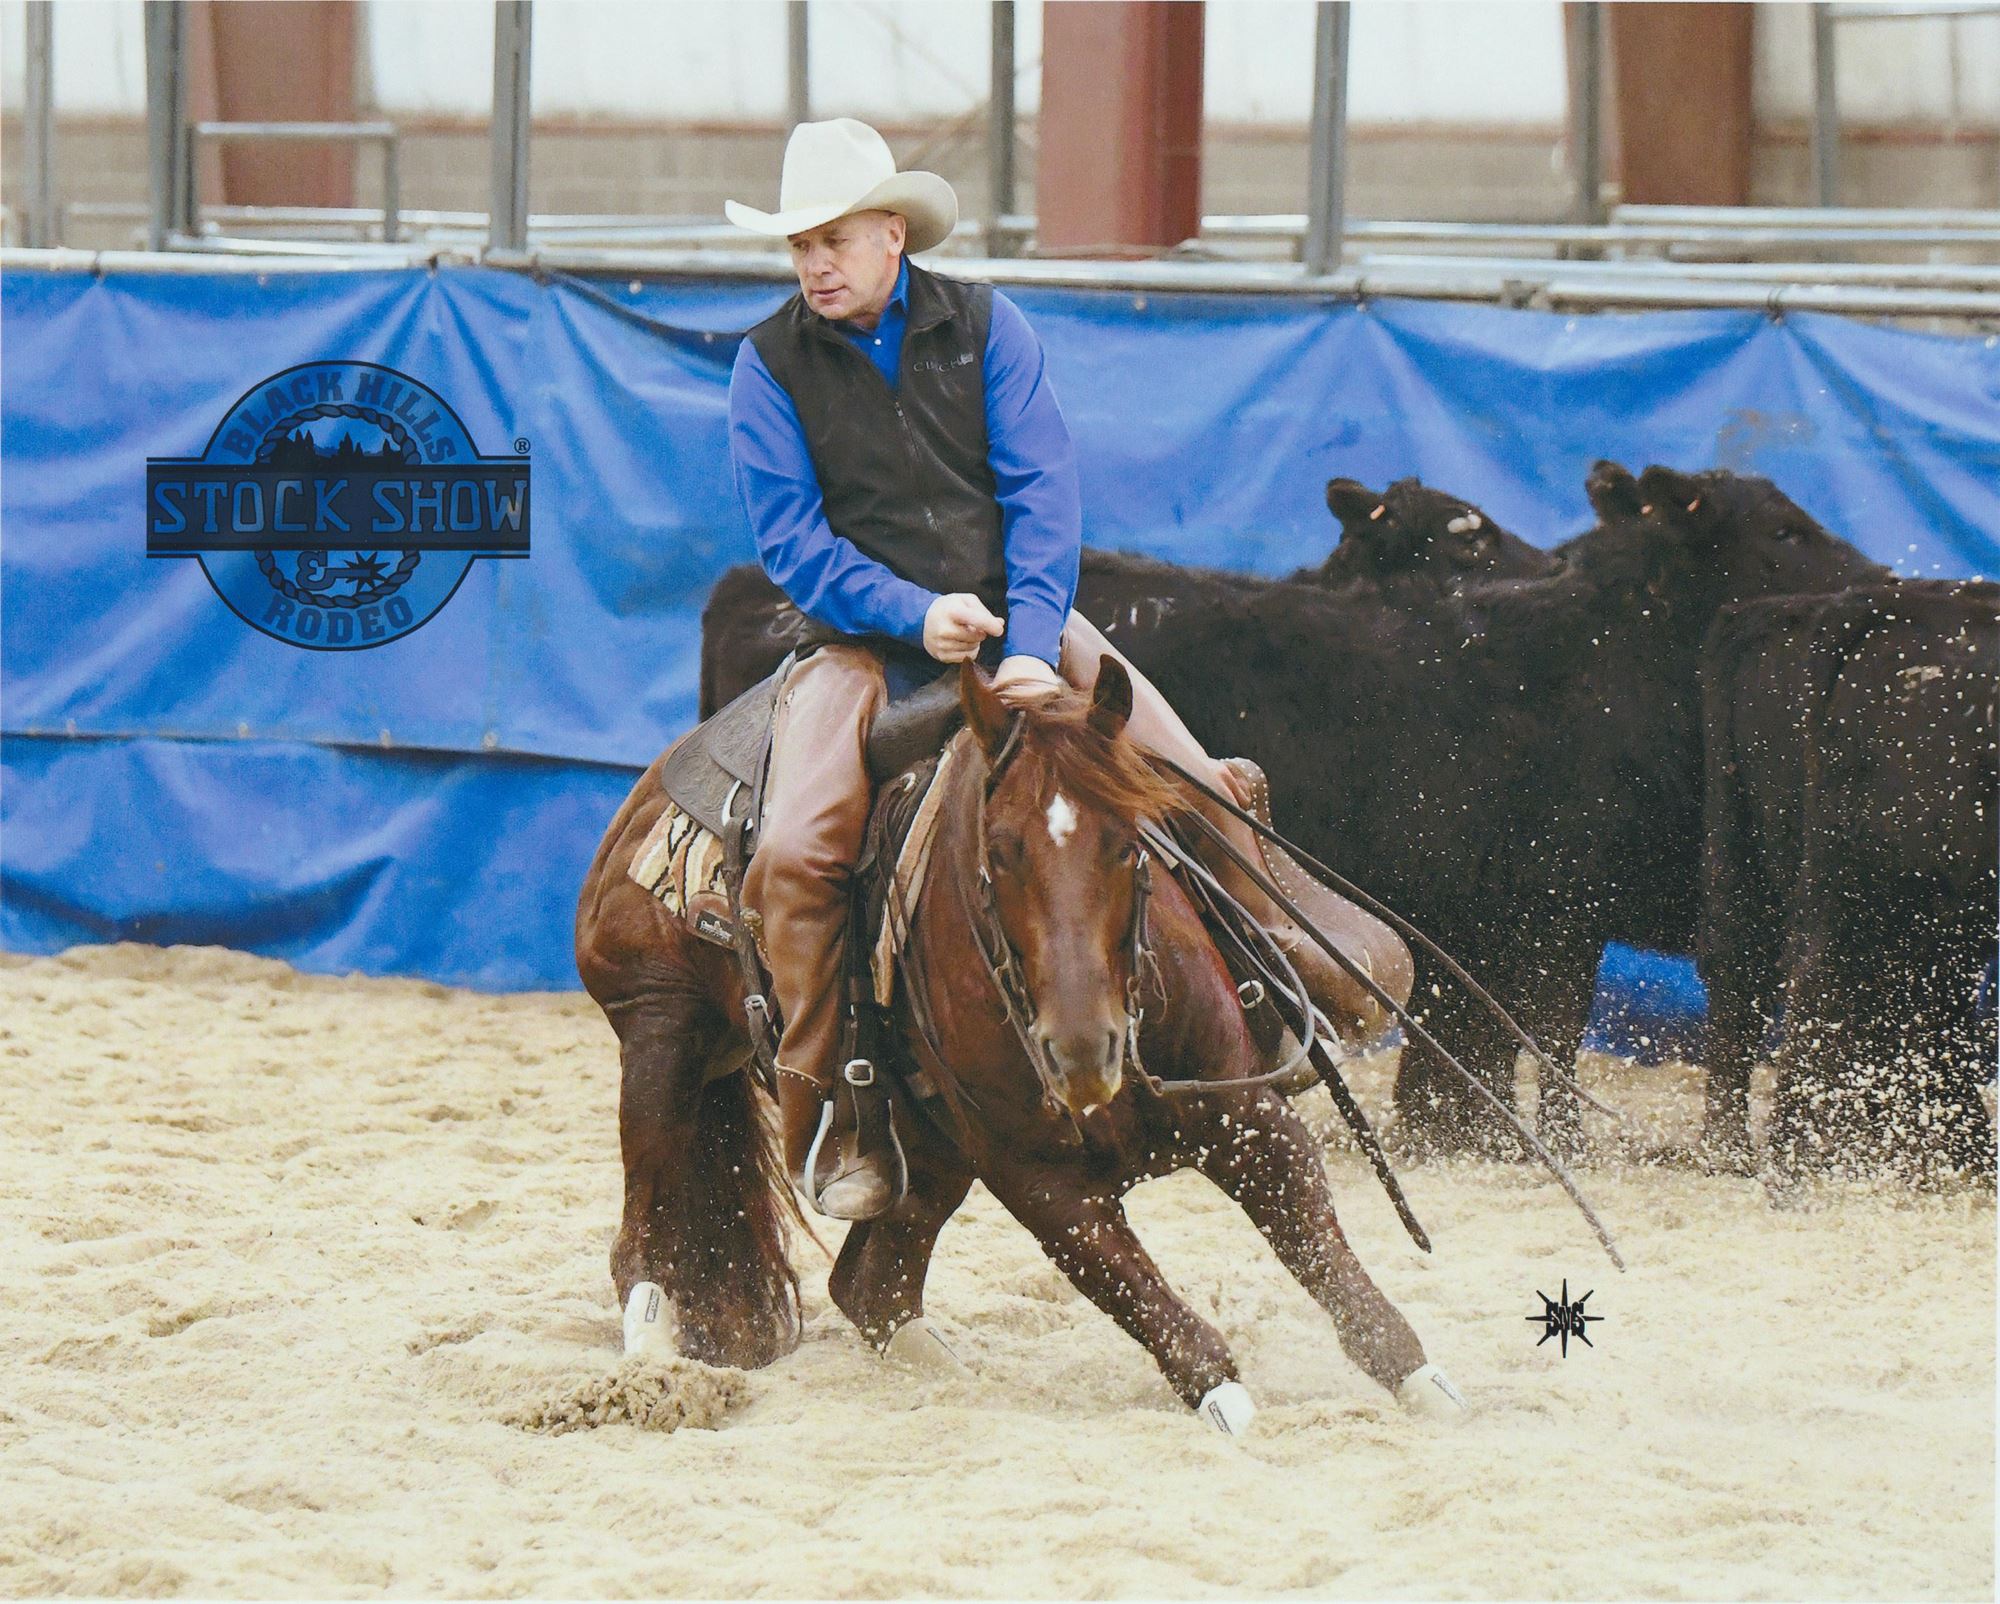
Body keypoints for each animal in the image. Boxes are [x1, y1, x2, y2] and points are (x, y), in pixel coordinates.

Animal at [574, 655, 1466, 1430]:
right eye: (998, 853)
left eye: (1130, 840)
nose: (1081, 1052)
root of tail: (650, 791)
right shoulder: (1040, 1184)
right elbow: (1170, 1326)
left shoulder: (1247, 1117)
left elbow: (1342, 1282)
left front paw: (1436, 1393)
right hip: (662, 1035)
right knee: (643, 1239)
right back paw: (651, 1367)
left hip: (927, 1152)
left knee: (871, 1286)